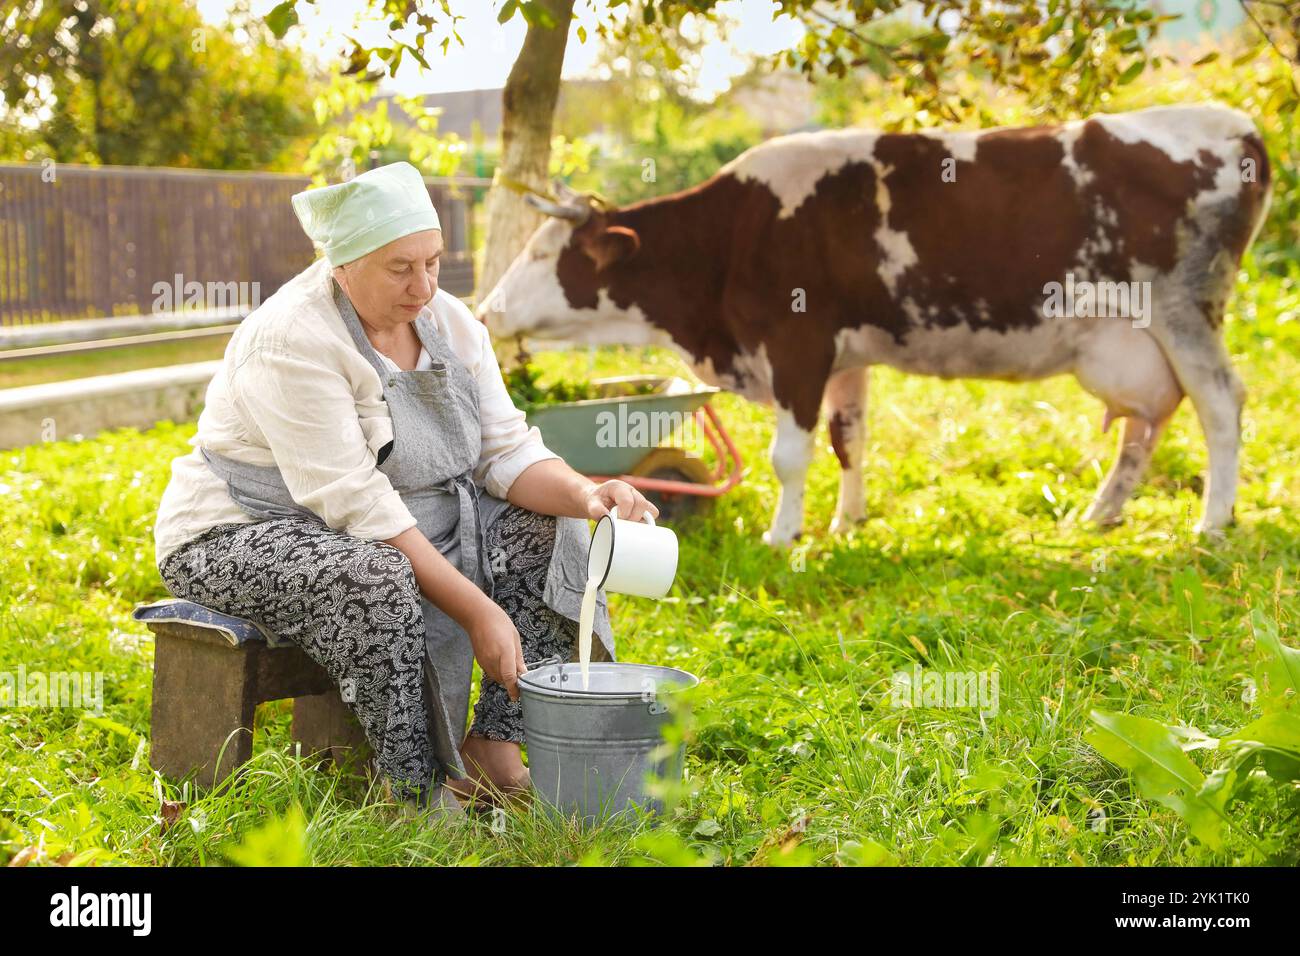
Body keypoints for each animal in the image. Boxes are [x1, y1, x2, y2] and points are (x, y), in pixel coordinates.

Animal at [477, 103, 1272, 547]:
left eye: (544, 251)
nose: (487, 308)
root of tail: (1233, 126)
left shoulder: (797, 344)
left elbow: (789, 456)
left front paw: (782, 534)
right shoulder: (847, 356)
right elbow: (848, 440)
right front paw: (845, 522)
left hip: (1184, 311)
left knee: (1220, 406)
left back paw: (1212, 522)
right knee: (1148, 423)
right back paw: (1102, 513)